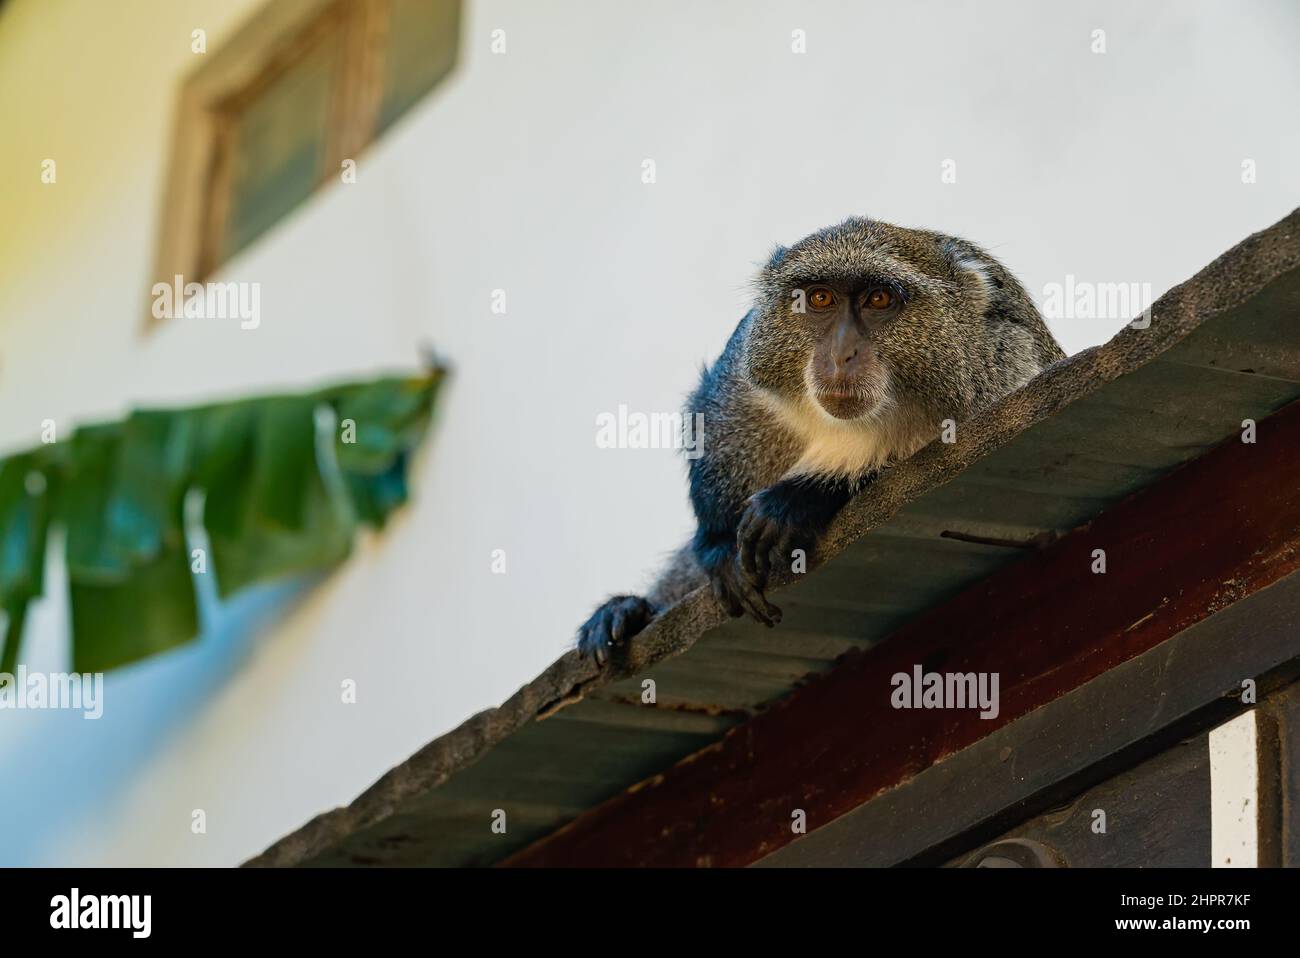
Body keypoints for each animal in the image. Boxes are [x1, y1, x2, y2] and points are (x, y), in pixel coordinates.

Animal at [577, 217, 1065, 662]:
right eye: (820, 298)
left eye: (879, 298)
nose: (841, 353)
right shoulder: (742, 367)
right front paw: (717, 552)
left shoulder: (1005, 373)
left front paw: (798, 500)